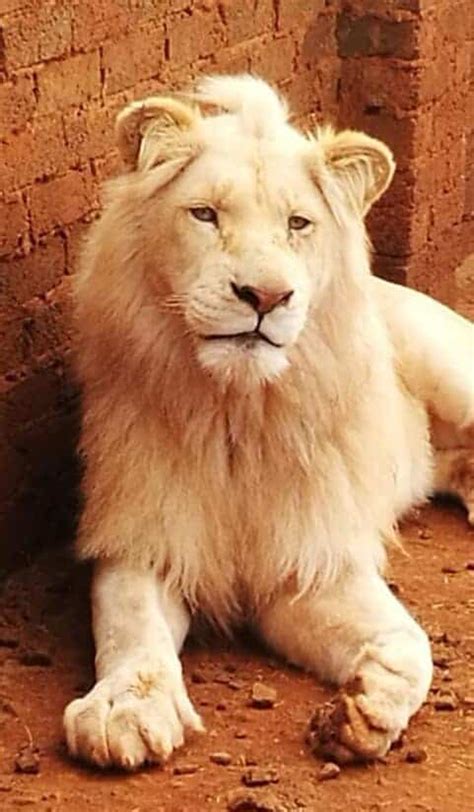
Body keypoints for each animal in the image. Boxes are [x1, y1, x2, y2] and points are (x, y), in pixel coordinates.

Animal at [63, 75, 474, 770]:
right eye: (205, 214)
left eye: (298, 224)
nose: (266, 296)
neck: (238, 413)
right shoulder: (148, 534)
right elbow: (129, 625)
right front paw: (124, 711)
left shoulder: (310, 560)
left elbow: (411, 643)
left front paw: (365, 706)